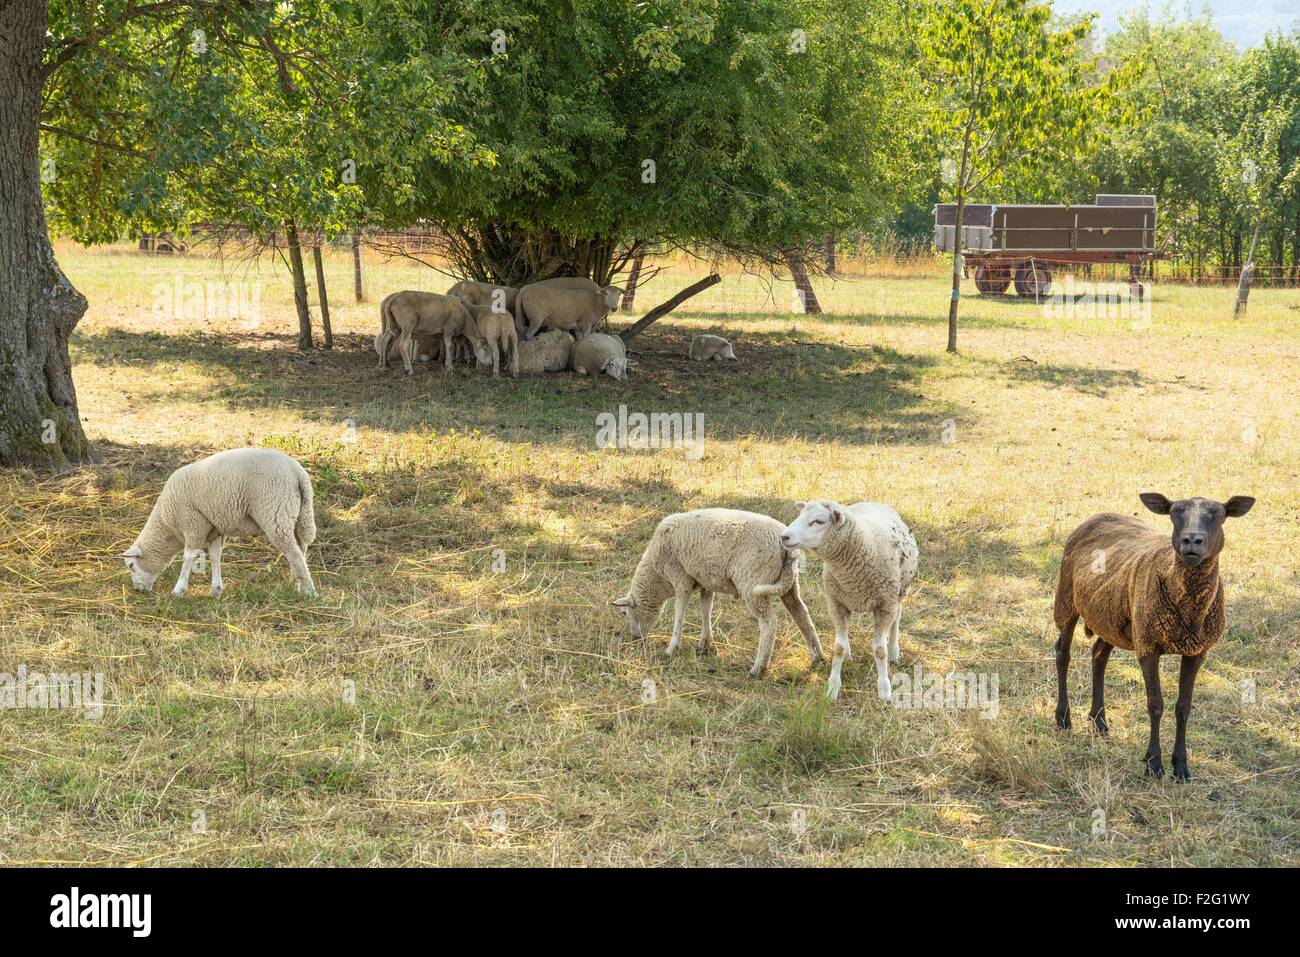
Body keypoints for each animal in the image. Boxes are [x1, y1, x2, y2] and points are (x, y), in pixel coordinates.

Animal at [120, 448, 317, 598]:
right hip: (298, 514)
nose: (137, 590)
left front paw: (179, 589)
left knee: (294, 553)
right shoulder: (214, 528)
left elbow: (188, 557)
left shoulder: (193, 523)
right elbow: (215, 556)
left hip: (276, 513)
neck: (167, 526)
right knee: (300, 549)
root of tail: (298, 472)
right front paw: (215, 589)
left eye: (131, 566)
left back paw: (309, 592)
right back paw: (297, 583)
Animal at [611, 508, 823, 676]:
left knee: (769, 623)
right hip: (790, 584)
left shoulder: (680, 577)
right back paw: (818, 658)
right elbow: (706, 609)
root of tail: (785, 545)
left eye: (624, 613)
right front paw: (705, 644)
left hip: (752, 582)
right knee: (802, 615)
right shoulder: (705, 581)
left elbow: (680, 613)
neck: (657, 574)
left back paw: (758, 668)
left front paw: (672, 648)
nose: (635, 639)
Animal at [781, 500, 919, 701]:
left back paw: (894, 652)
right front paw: (833, 687)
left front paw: (884, 690)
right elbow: (837, 647)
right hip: (847, 598)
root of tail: (872, 502)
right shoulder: (835, 602)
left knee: (897, 619)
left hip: (900, 592)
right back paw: (848, 654)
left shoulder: (885, 604)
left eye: (819, 521)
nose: (784, 536)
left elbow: (880, 650)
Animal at [1053, 493, 1255, 781]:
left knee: (1098, 656)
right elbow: (1155, 704)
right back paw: (1063, 718)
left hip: (1113, 617)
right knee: (1063, 653)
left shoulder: (1197, 650)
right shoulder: (1148, 645)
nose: (1191, 541)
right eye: (1174, 513)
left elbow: (1183, 707)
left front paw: (1181, 767)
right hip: (1067, 598)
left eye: (1219, 516)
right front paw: (1153, 763)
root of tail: (1097, 516)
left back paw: (1099, 721)